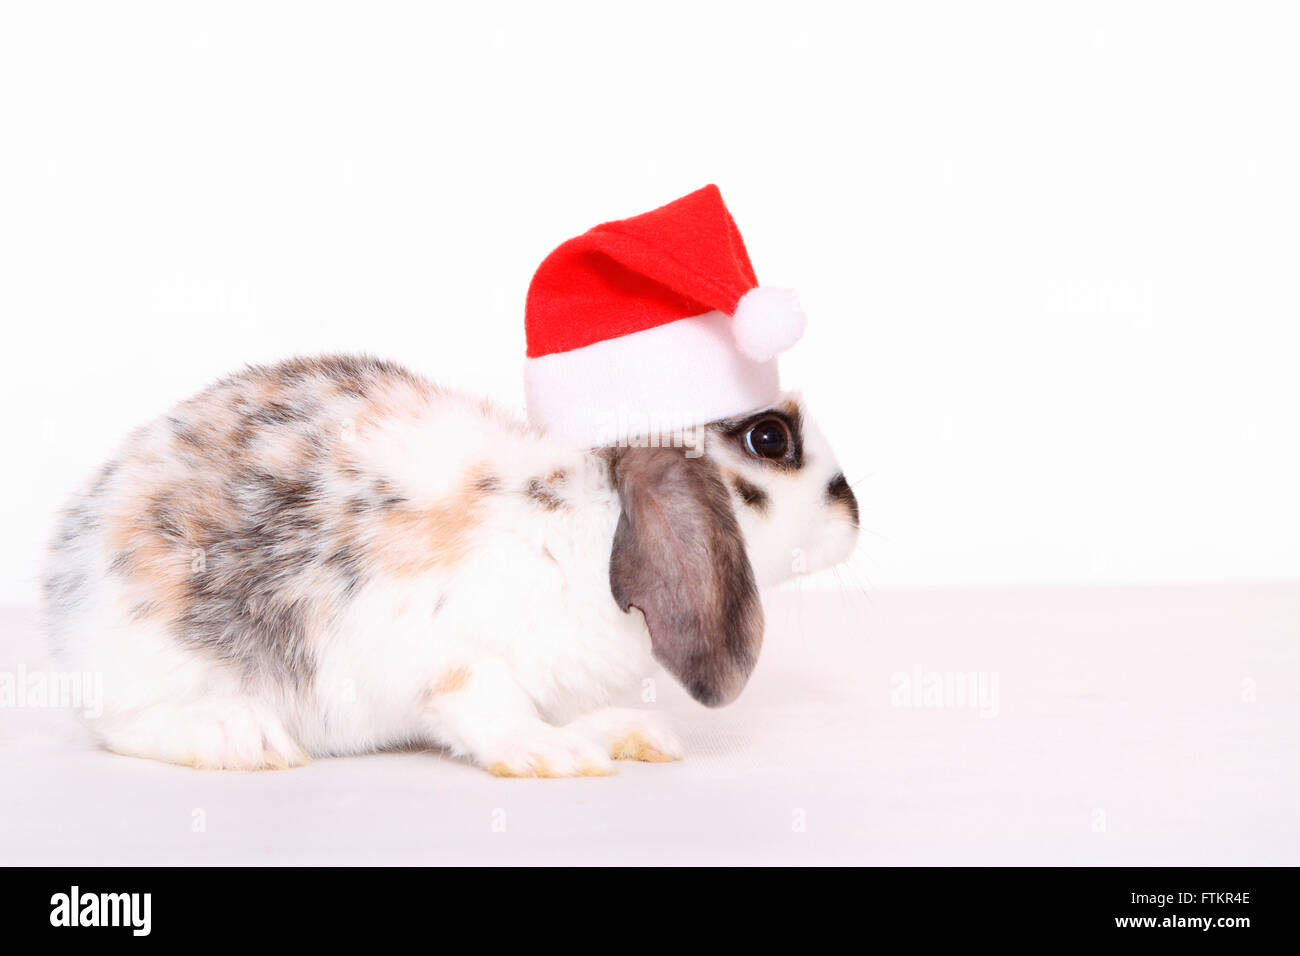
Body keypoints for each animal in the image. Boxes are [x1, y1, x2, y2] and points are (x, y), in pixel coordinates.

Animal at [42, 354, 859, 776]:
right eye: (768, 438)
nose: (853, 513)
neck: (592, 523)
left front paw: (627, 734)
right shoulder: (458, 658)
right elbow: (488, 707)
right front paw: (553, 753)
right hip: (154, 655)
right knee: (124, 727)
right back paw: (240, 736)